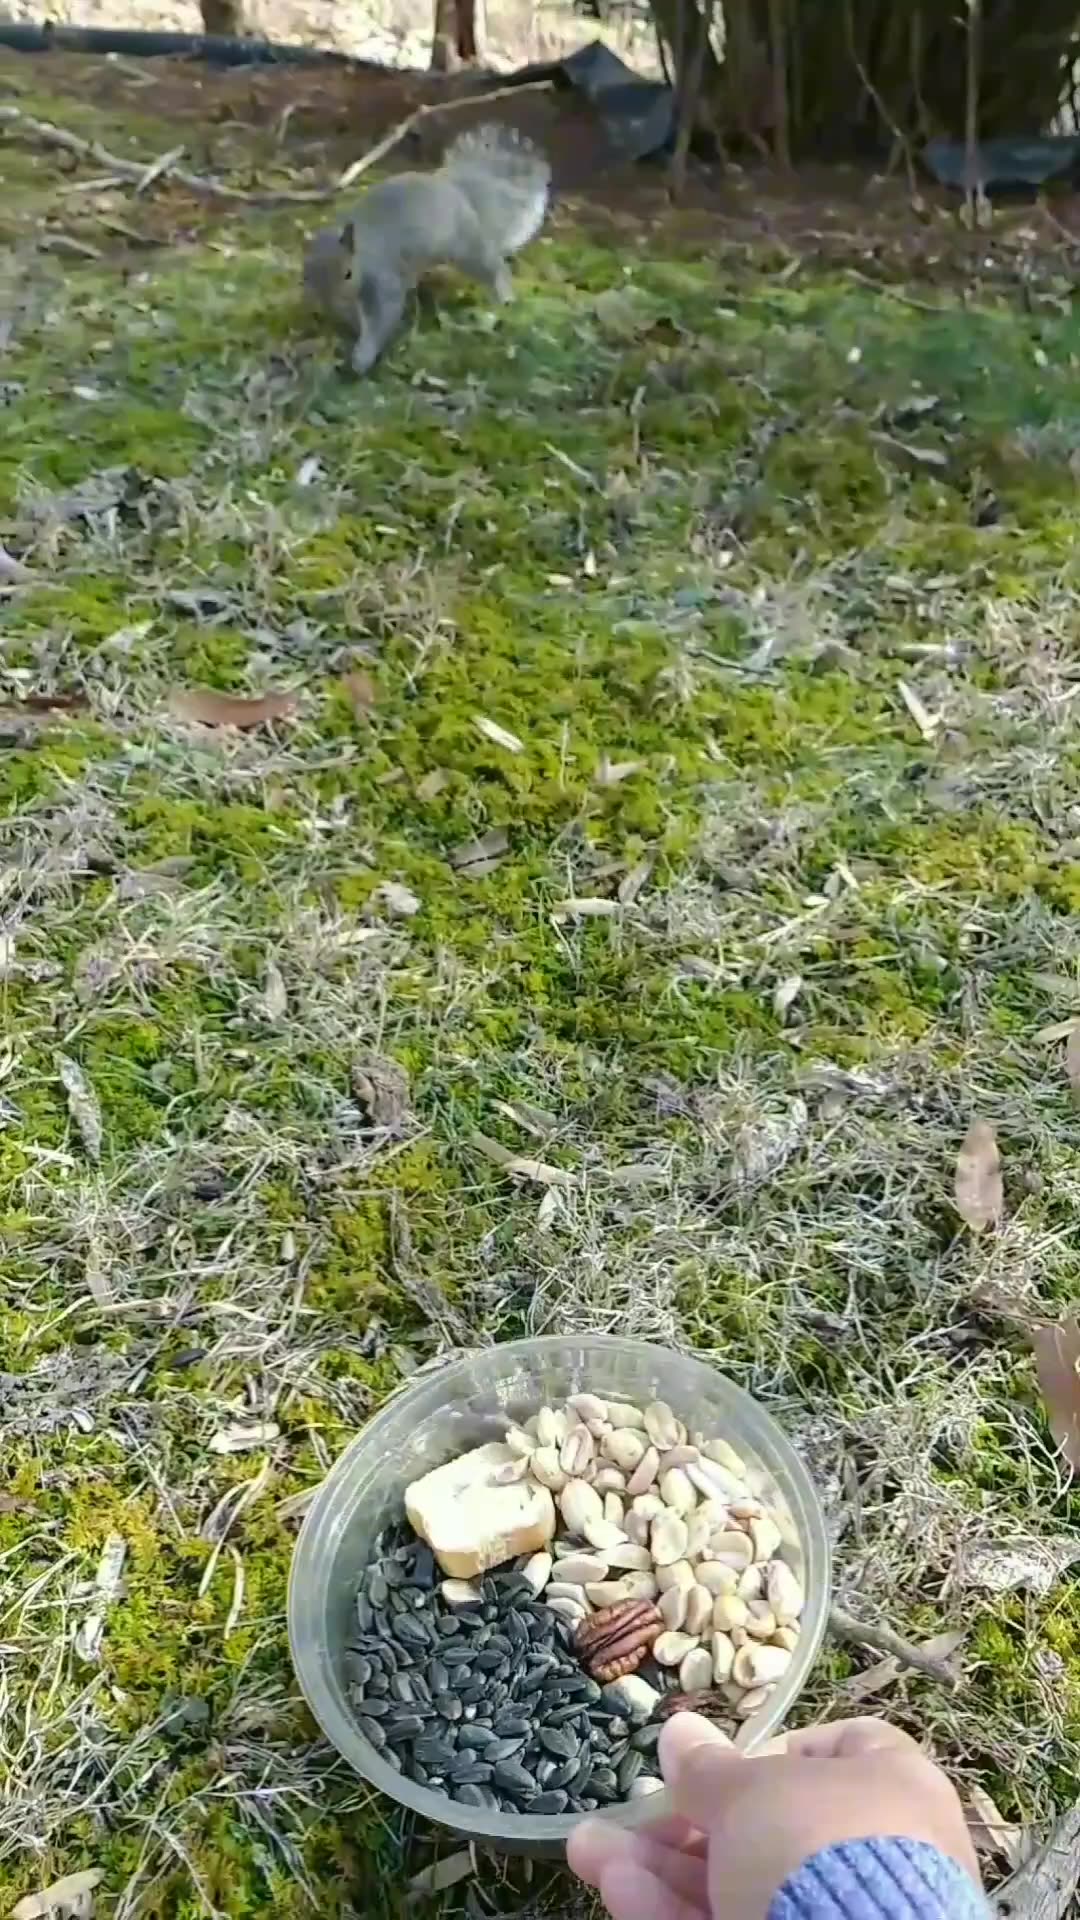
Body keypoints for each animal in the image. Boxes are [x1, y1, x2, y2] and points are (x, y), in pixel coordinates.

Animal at [302, 122, 552, 375]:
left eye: (348, 274)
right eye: (306, 275)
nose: (327, 305)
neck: (361, 254)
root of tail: (458, 190)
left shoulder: (382, 280)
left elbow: (382, 317)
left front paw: (362, 357)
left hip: (466, 246)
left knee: (493, 268)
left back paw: (504, 299)